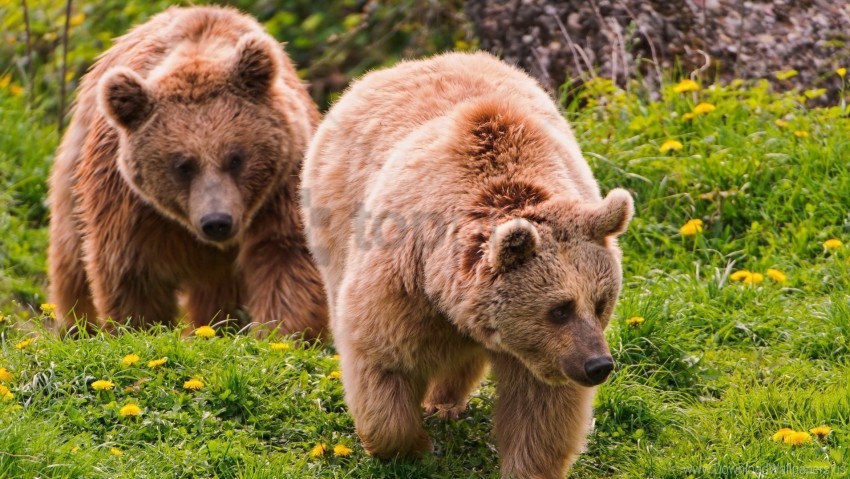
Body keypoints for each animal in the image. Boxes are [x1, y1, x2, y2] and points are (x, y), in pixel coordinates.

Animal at [48, 6, 327, 338]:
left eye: (236, 158)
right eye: (183, 166)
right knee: (70, 253)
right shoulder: (131, 205)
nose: (217, 222)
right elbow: (131, 271)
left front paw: (281, 334)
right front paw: (140, 326)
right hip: (75, 167)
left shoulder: (282, 187)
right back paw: (76, 325)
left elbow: (286, 256)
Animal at [301, 51, 633, 478]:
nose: (598, 365)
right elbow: (383, 358)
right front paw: (412, 446)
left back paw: (445, 400)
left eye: (601, 302)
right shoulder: (403, 279)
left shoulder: (540, 351)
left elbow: (542, 407)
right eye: (559, 309)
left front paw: (527, 465)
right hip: (334, 222)